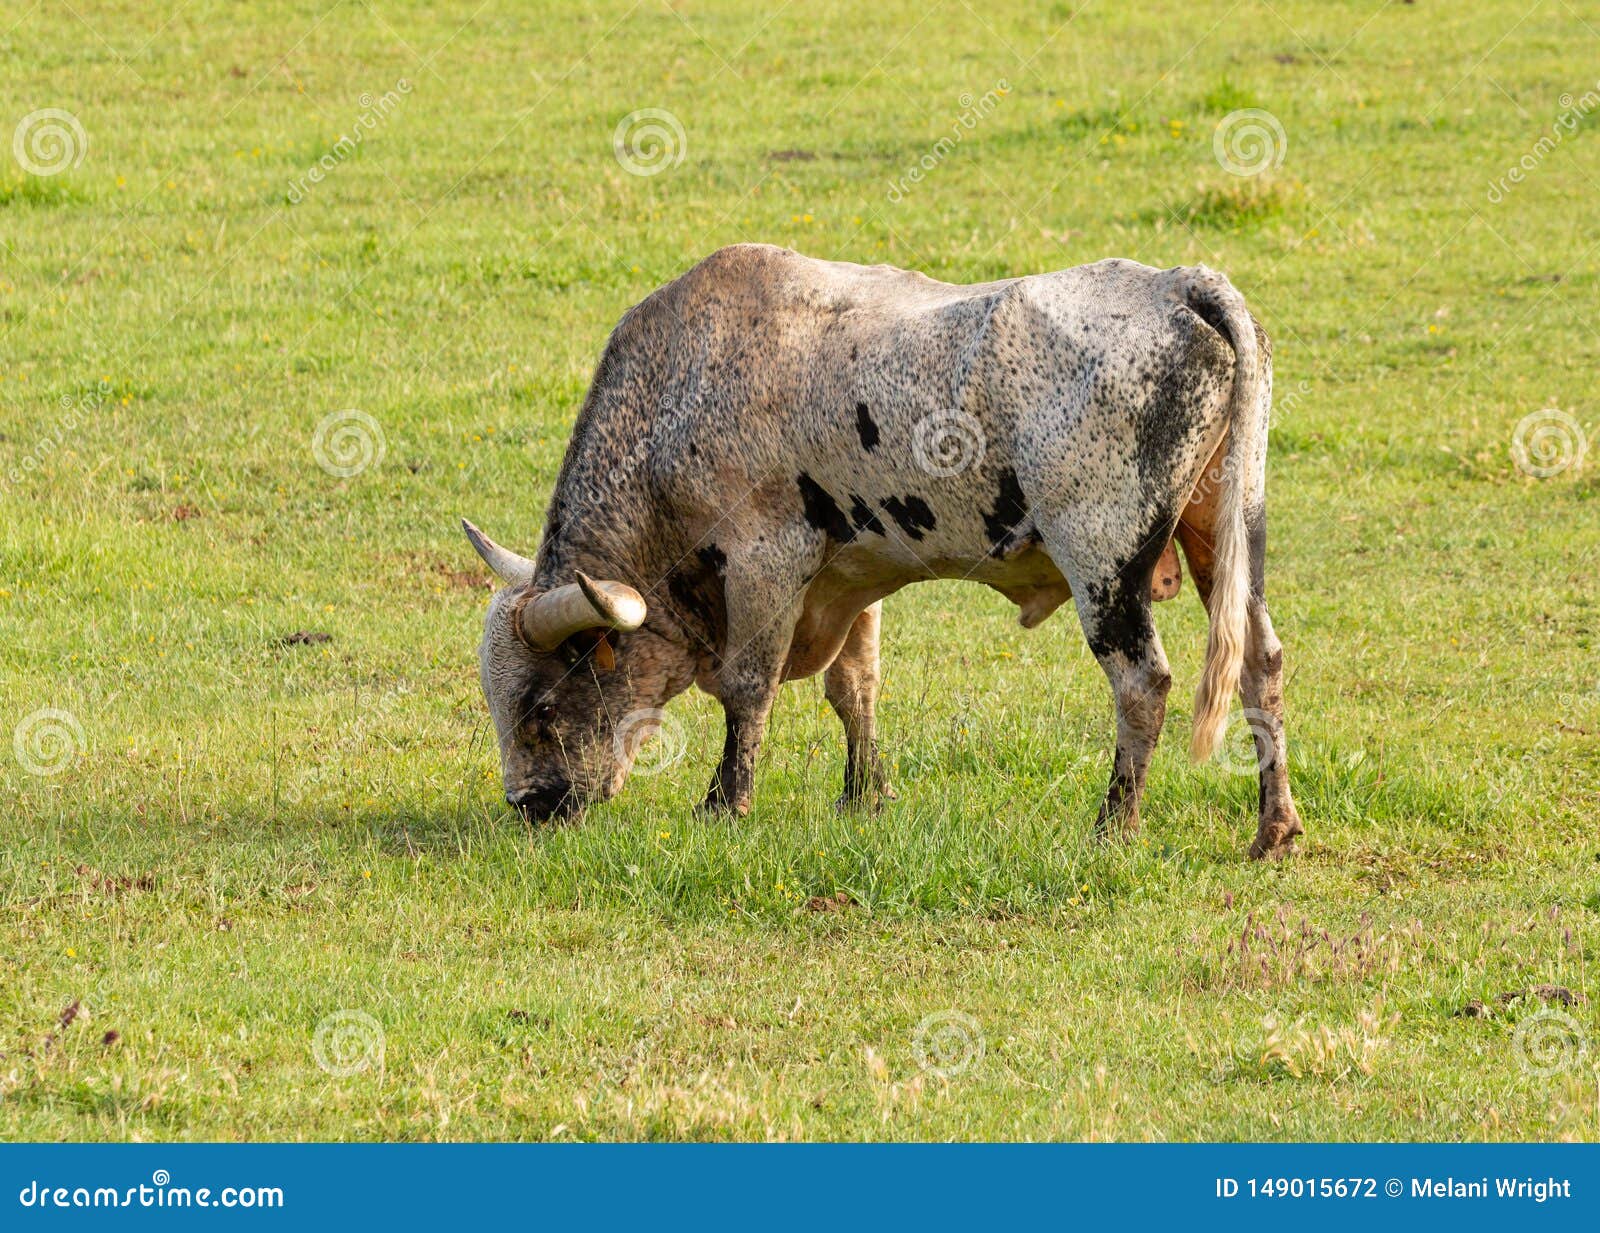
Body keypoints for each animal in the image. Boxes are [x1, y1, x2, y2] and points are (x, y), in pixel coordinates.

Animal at [463, 244, 1302, 860]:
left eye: (540, 707)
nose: (529, 805)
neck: (679, 390)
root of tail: (1177, 284)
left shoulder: (766, 561)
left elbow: (747, 689)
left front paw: (725, 804)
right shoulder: (849, 575)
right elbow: (854, 686)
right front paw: (863, 793)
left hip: (1104, 562)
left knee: (1142, 683)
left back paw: (1112, 824)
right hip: (1224, 534)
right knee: (1260, 660)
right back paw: (1274, 828)